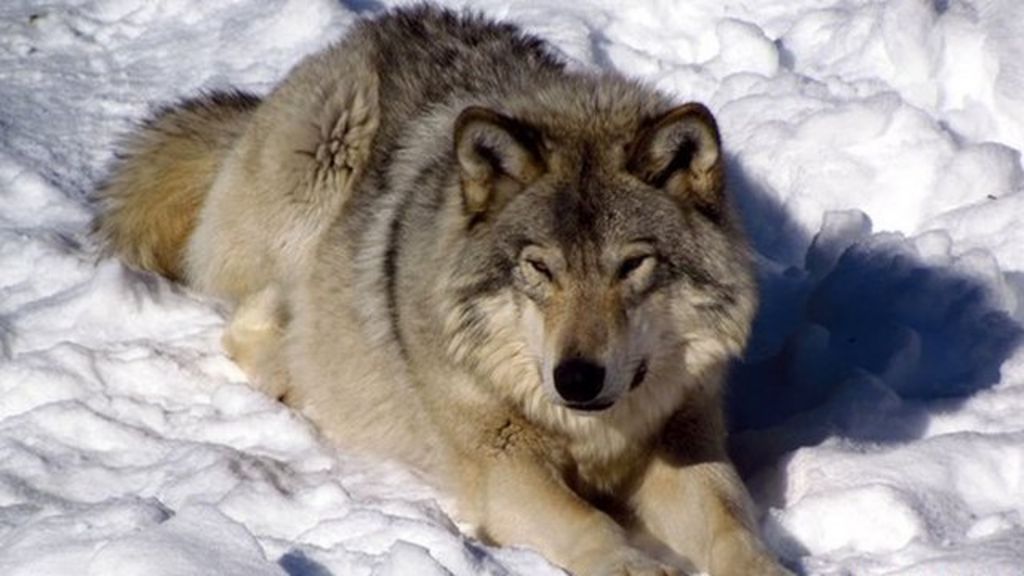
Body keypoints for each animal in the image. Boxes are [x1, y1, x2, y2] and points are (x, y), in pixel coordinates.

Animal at [96, 5, 790, 575]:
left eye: (632, 266)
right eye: (540, 268)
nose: (576, 379)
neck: (593, 432)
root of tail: (371, 29)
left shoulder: (685, 439)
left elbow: (733, 527)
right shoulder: (503, 466)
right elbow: (590, 524)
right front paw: (636, 566)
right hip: (323, 165)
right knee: (246, 326)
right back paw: (301, 376)